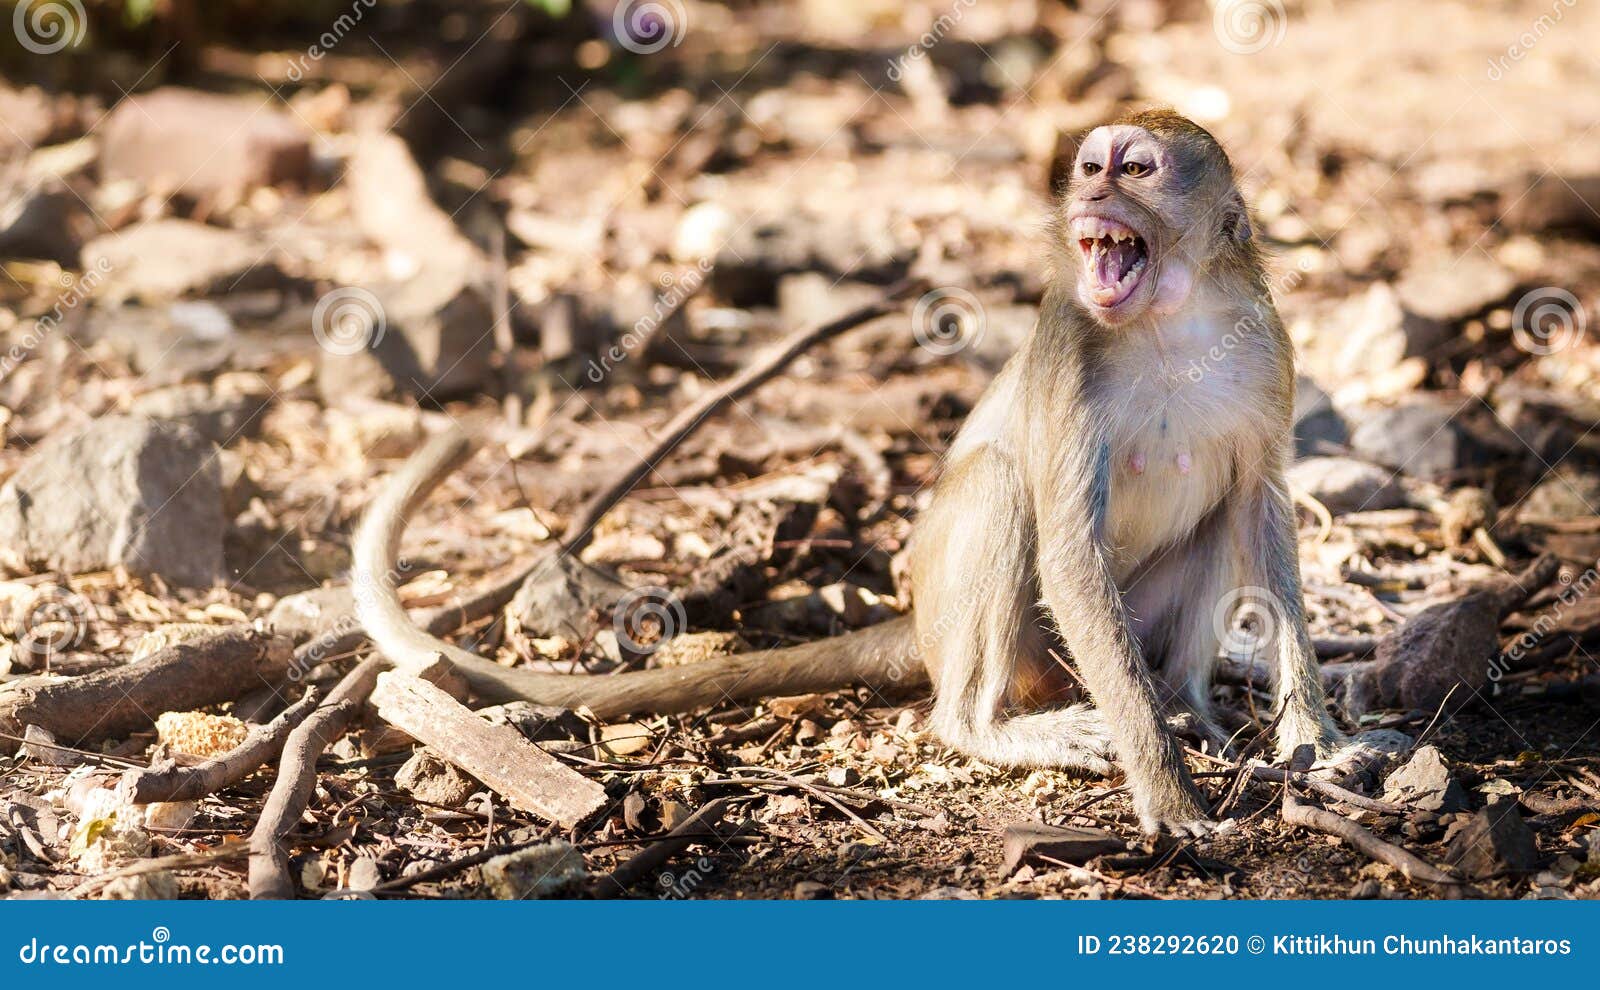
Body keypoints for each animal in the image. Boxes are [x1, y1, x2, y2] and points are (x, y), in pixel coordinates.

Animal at [353, 108, 1344, 836]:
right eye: (1091, 167)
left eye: (1133, 169)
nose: (1093, 187)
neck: (1170, 322)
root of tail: (921, 627)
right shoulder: (1072, 343)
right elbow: (1069, 551)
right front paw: (1166, 789)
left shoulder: (1269, 352)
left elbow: (1262, 509)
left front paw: (1309, 734)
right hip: (1009, 643)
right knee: (1000, 490)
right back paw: (991, 726)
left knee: (1220, 517)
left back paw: (1190, 704)